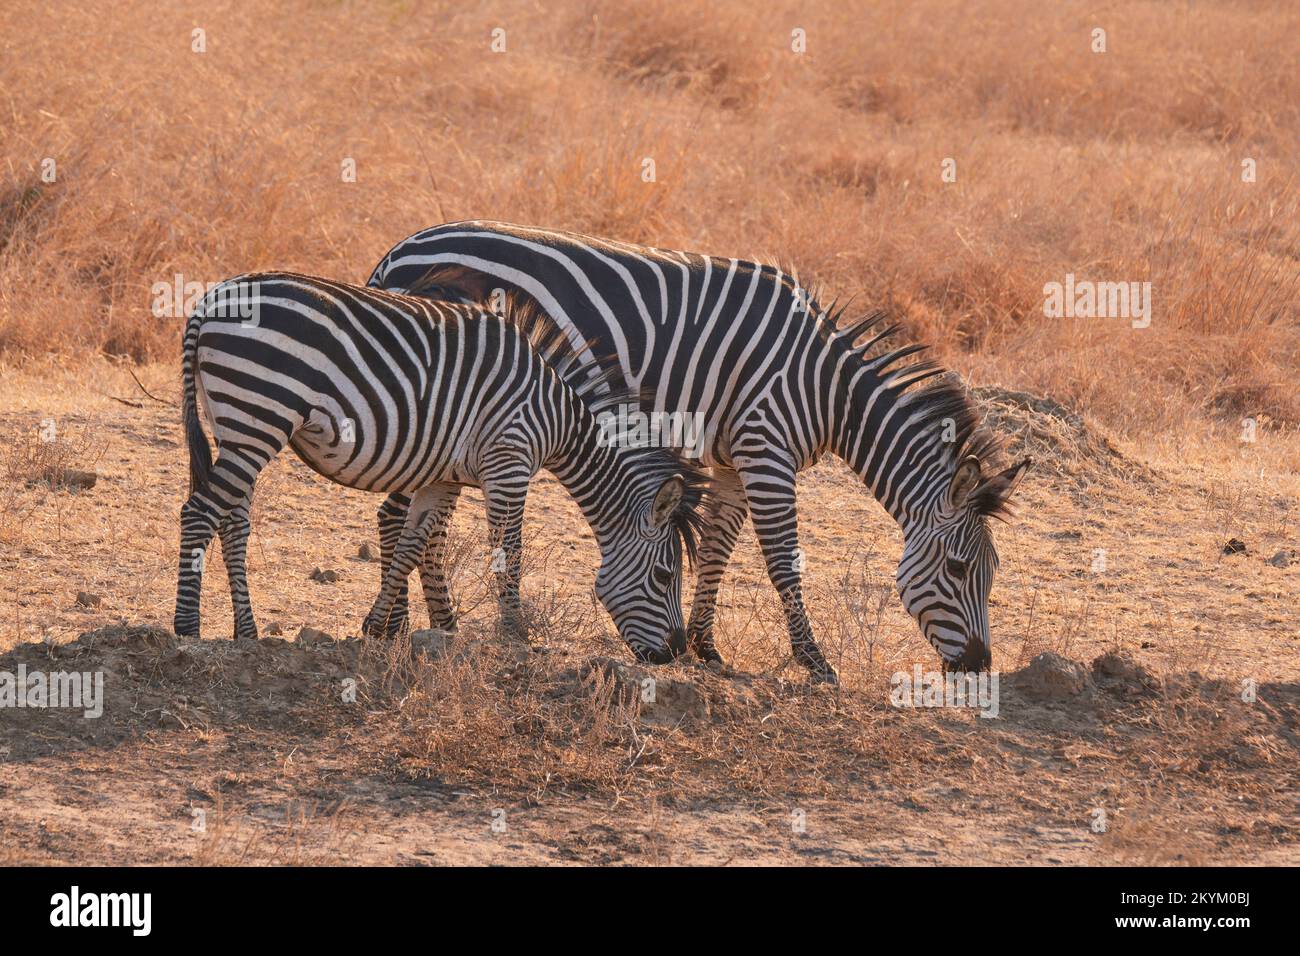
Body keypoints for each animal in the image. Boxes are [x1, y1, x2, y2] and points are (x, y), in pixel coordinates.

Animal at [173, 272, 708, 663]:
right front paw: (515, 637)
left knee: (233, 521)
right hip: (259, 414)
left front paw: (376, 627)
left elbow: (413, 545)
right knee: (198, 513)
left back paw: (246, 632)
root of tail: (211, 300)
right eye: (665, 576)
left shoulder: (444, 477)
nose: (674, 655)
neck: (554, 417)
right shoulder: (509, 462)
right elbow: (508, 554)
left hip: (238, 426)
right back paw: (186, 628)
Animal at [367, 222, 1031, 683]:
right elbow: (783, 561)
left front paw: (704, 648)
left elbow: (716, 549)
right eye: (959, 569)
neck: (827, 390)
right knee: (396, 513)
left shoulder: (735, 459)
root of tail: (399, 249)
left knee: (423, 519)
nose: (979, 665)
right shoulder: (767, 451)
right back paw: (395, 630)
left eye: (991, 572)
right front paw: (815, 663)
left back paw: (442, 627)